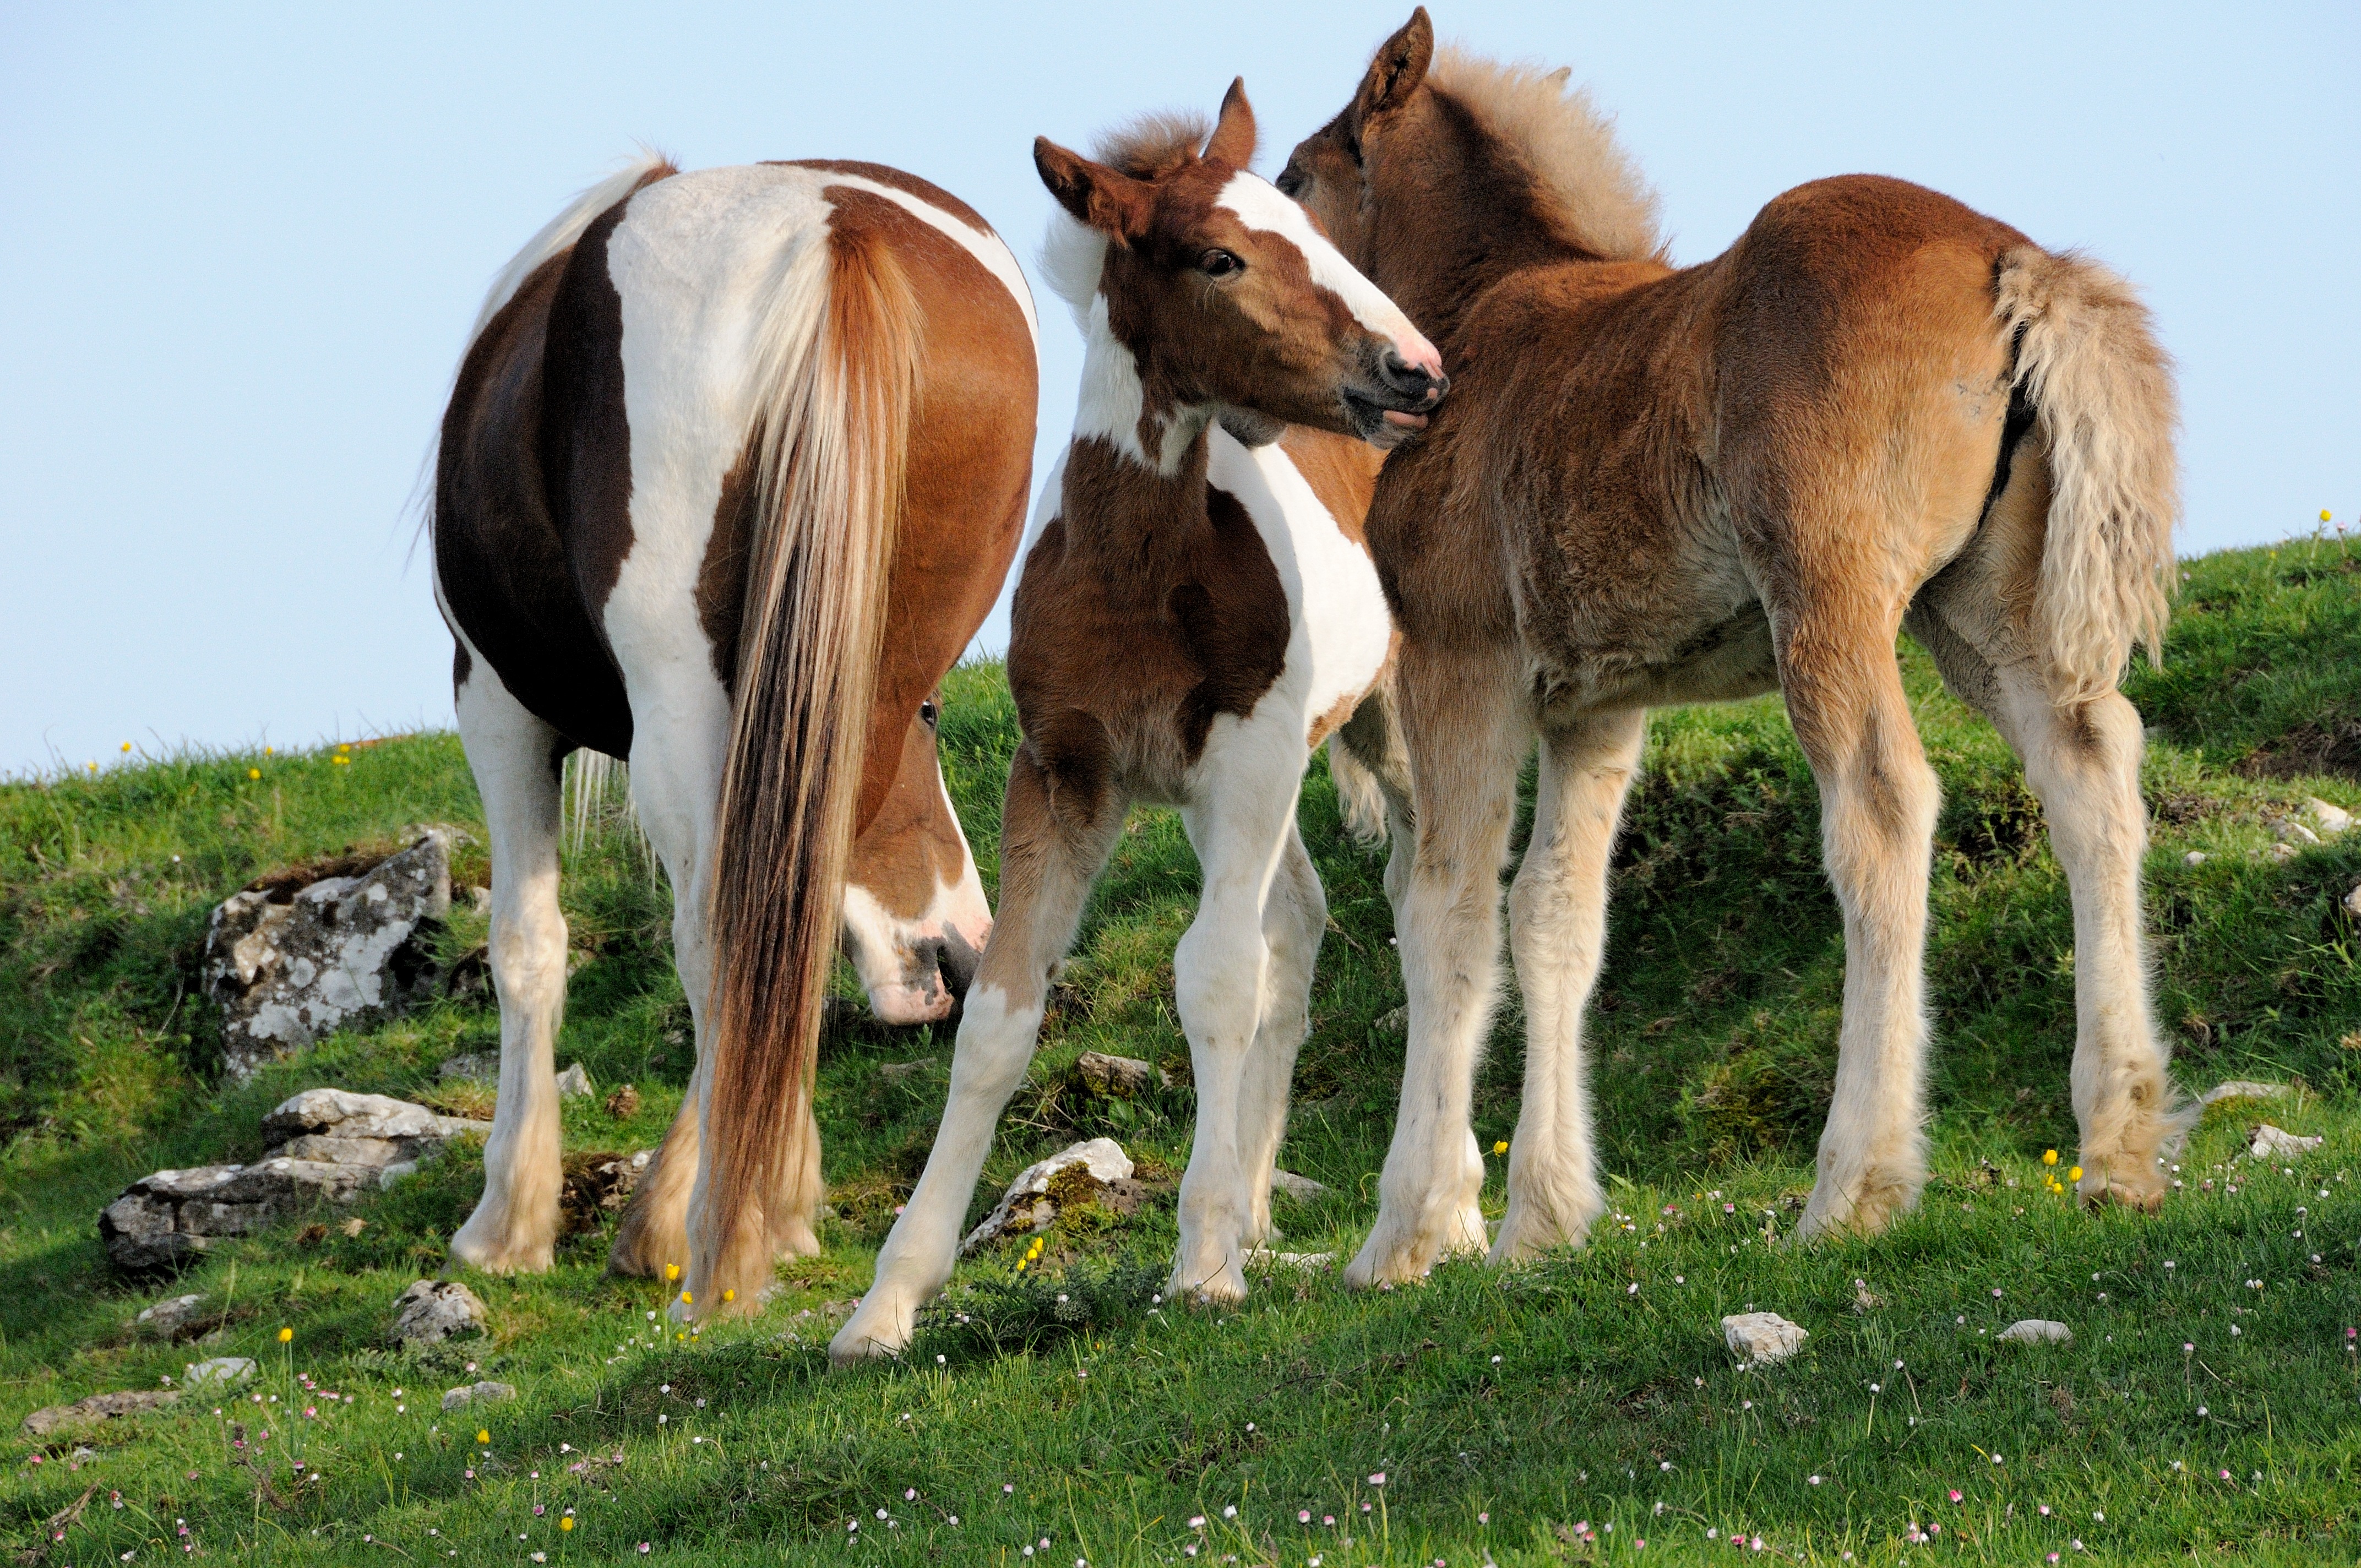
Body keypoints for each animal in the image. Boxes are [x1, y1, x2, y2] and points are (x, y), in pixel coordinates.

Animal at [431, 149, 1039, 1312]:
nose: (959, 952)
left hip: (679, 699)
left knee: (725, 937)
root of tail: (836, 230)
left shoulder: (493, 699)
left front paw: (506, 1225)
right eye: (939, 712)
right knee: (780, 922)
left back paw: (709, 1237)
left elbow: (528, 947)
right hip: (854, 674)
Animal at [829, 81, 1444, 1361]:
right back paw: (1264, 1215)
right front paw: (885, 1302)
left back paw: (1422, 1211)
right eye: (1220, 257)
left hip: (1387, 727)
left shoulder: (1246, 749)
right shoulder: (1064, 770)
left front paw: (1201, 1260)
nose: (1412, 369)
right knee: (1300, 922)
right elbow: (997, 1015)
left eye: (1305, 228)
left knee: (1433, 912)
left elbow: (1212, 975)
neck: (1134, 569)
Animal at [1278, 10, 2186, 1286]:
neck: (1478, 312)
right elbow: (1555, 918)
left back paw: (1853, 1183)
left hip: (1829, 593)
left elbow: (1445, 909)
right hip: (1984, 611)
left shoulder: (1462, 662)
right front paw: (1540, 1219)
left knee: (1881, 805)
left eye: (1289, 184)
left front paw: (1405, 1230)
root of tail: (2015, 261)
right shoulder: (1593, 705)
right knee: (2090, 774)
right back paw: (2116, 1143)